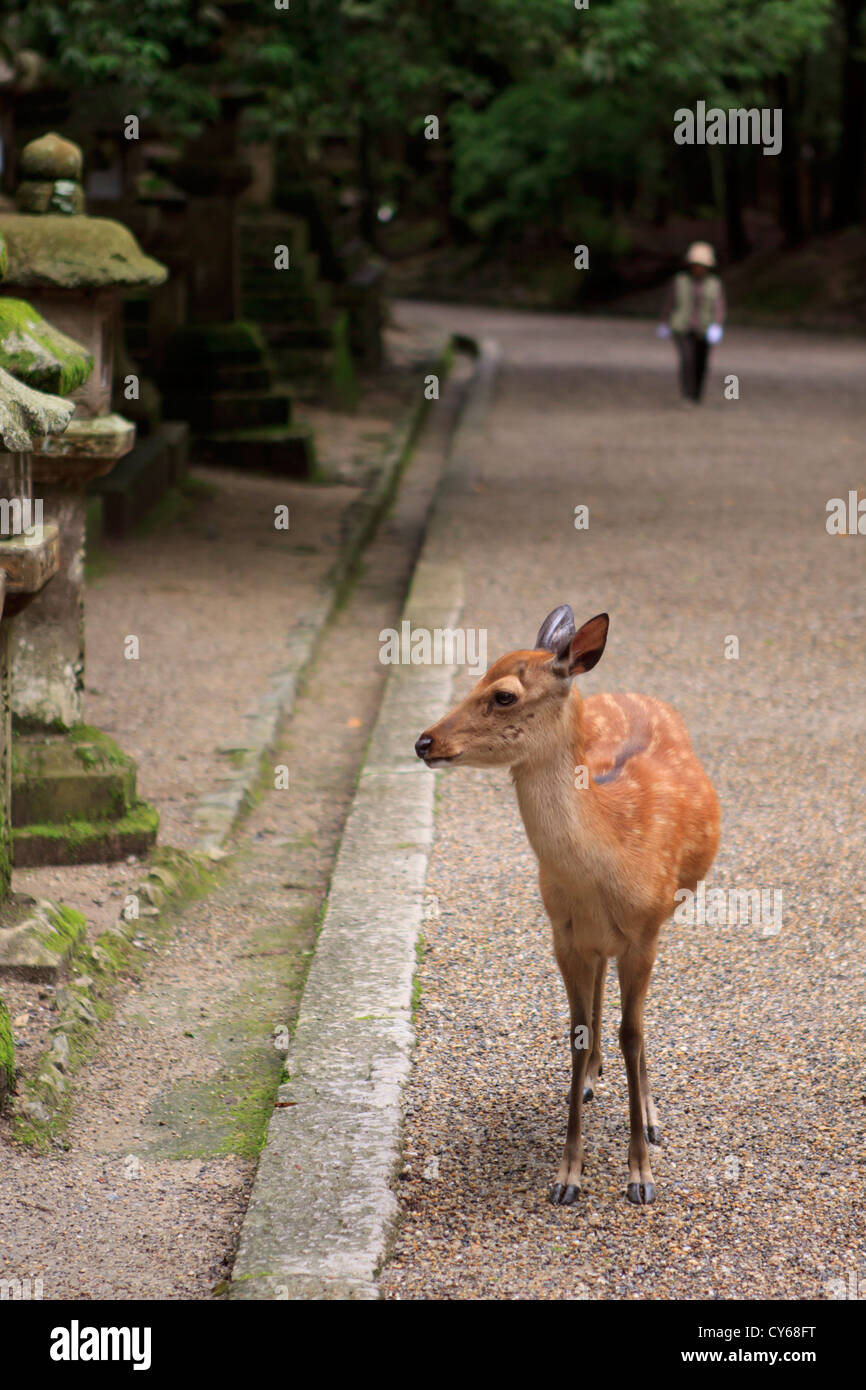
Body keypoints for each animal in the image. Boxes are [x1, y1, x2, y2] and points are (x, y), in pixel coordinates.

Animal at [414, 605, 720, 1206]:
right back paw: (593, 1082)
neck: (609, 855)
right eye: (478, 676)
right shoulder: (561, 934)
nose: (424, 741)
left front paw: (640, 1175)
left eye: (503, 694)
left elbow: (633, 1034)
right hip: (588, 940)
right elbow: (575, 1034)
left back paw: (649, 1114)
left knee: (635, 1020)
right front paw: (567, 1177)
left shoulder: (644, 933)